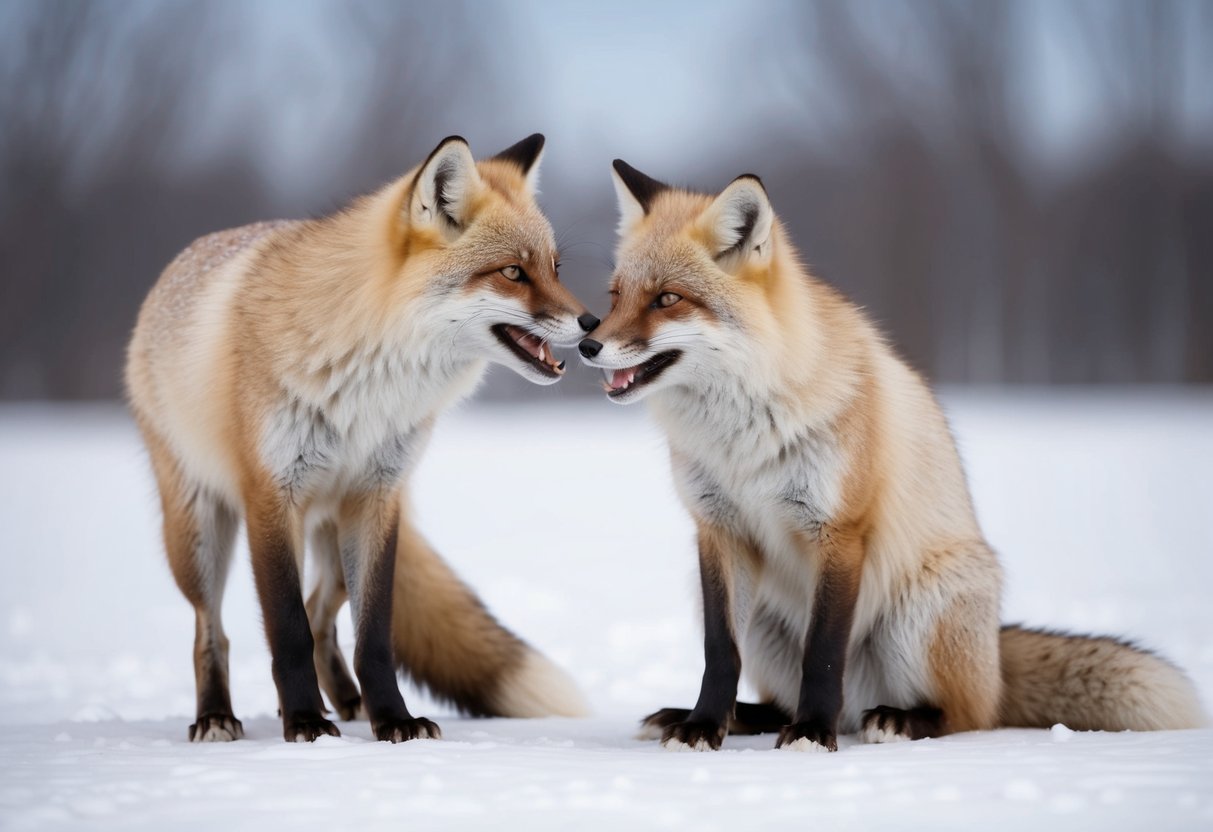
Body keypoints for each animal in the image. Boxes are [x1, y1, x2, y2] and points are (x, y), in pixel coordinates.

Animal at [126, 134, 596, 743]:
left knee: (321, 611)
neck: (369, 380)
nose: (592, 326)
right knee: (214, 629)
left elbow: (371, 637)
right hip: (198, 531)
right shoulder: (270, 496)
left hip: (334, 527)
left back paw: (345, 703)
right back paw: (217, 715)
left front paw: (392, 720)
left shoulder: (377, 495)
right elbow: (287, 630)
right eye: (513, 272)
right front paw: (304, 722)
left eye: (555, 268)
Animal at [578, 159, 1207, 752]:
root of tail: (995, 659)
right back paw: (736, 717)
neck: (742, 437)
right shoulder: (717, 529)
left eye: (667, 299)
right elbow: (718, 652)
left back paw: (893, 720)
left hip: (921, 611)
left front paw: (812, 735)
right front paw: (703, 726)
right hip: (764, 620)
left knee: (965, 715)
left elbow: (823, 652)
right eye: (615, 296)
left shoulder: (841, 530)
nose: (587, 344)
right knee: (783, 696)